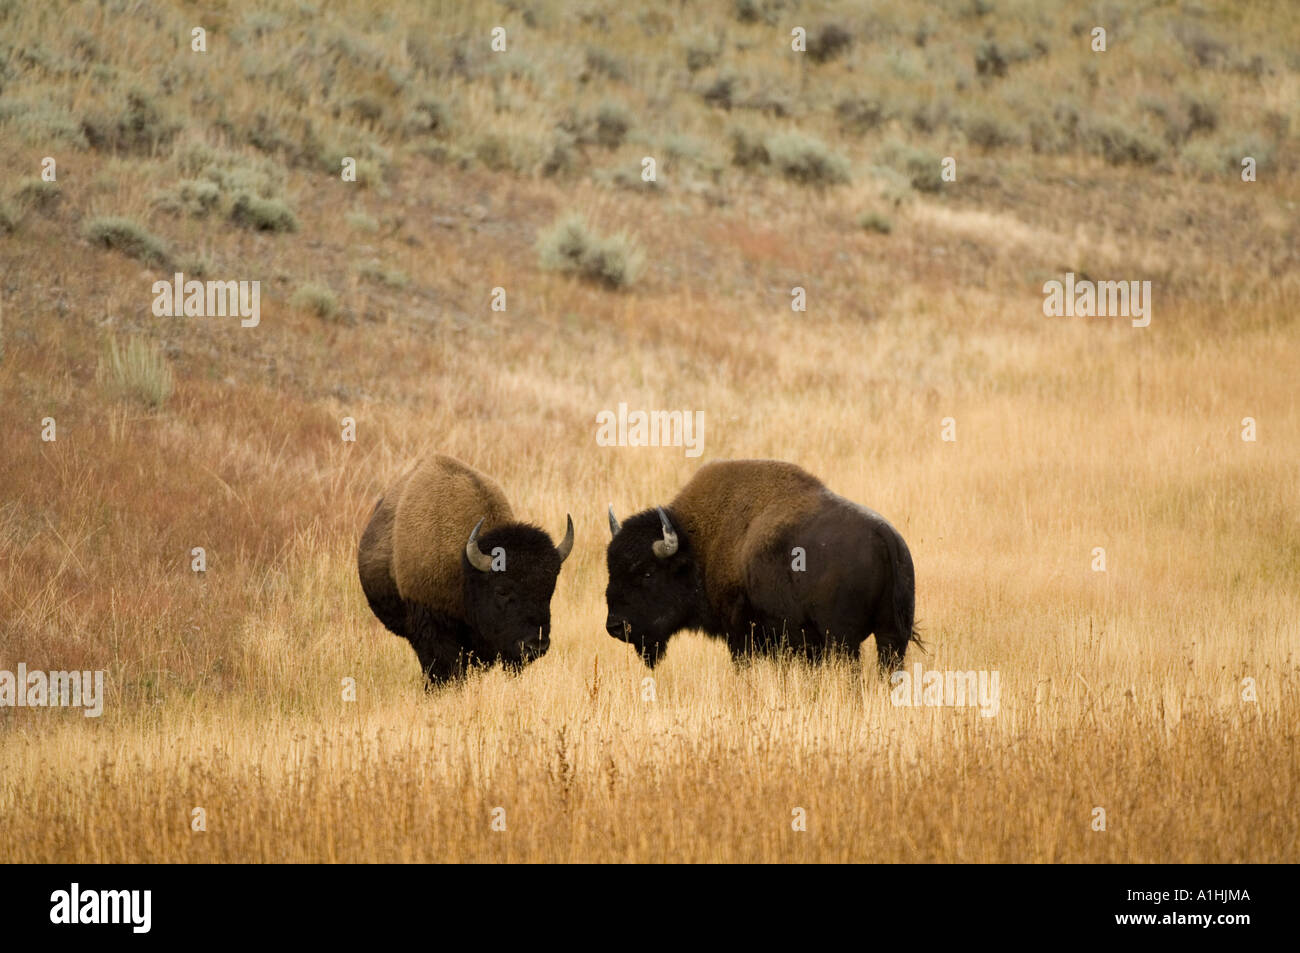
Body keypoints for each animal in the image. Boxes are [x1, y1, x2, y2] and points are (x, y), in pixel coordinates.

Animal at [605, 459, 918, 671]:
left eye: (647, 573)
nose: (615, 627)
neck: (697, 544)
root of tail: (886, 536)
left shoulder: (740, 636)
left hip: (844, 640)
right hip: (891, 636)